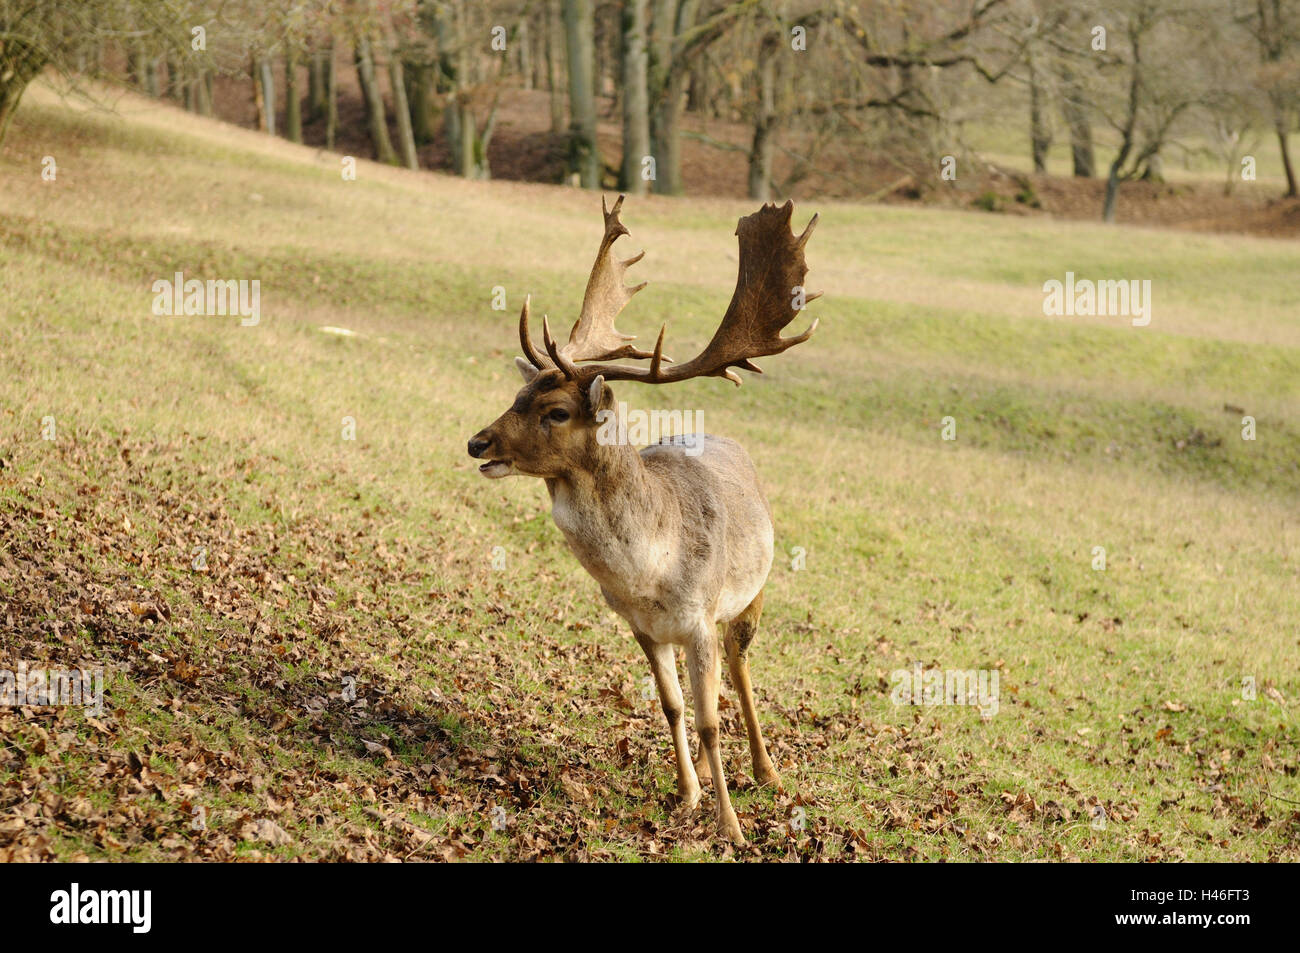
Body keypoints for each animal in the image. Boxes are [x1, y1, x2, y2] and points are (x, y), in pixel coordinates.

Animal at [467, 195, 819, 844]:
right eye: (518, 393)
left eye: (556, 410)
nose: (478, 442)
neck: (649, 573)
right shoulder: (641, 626)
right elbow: (674, 707)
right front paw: (687, 795)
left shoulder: (701, 617)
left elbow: (710, 720)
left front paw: (729, 827)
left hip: (753, 594)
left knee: (741, 668)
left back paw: (768, 772)